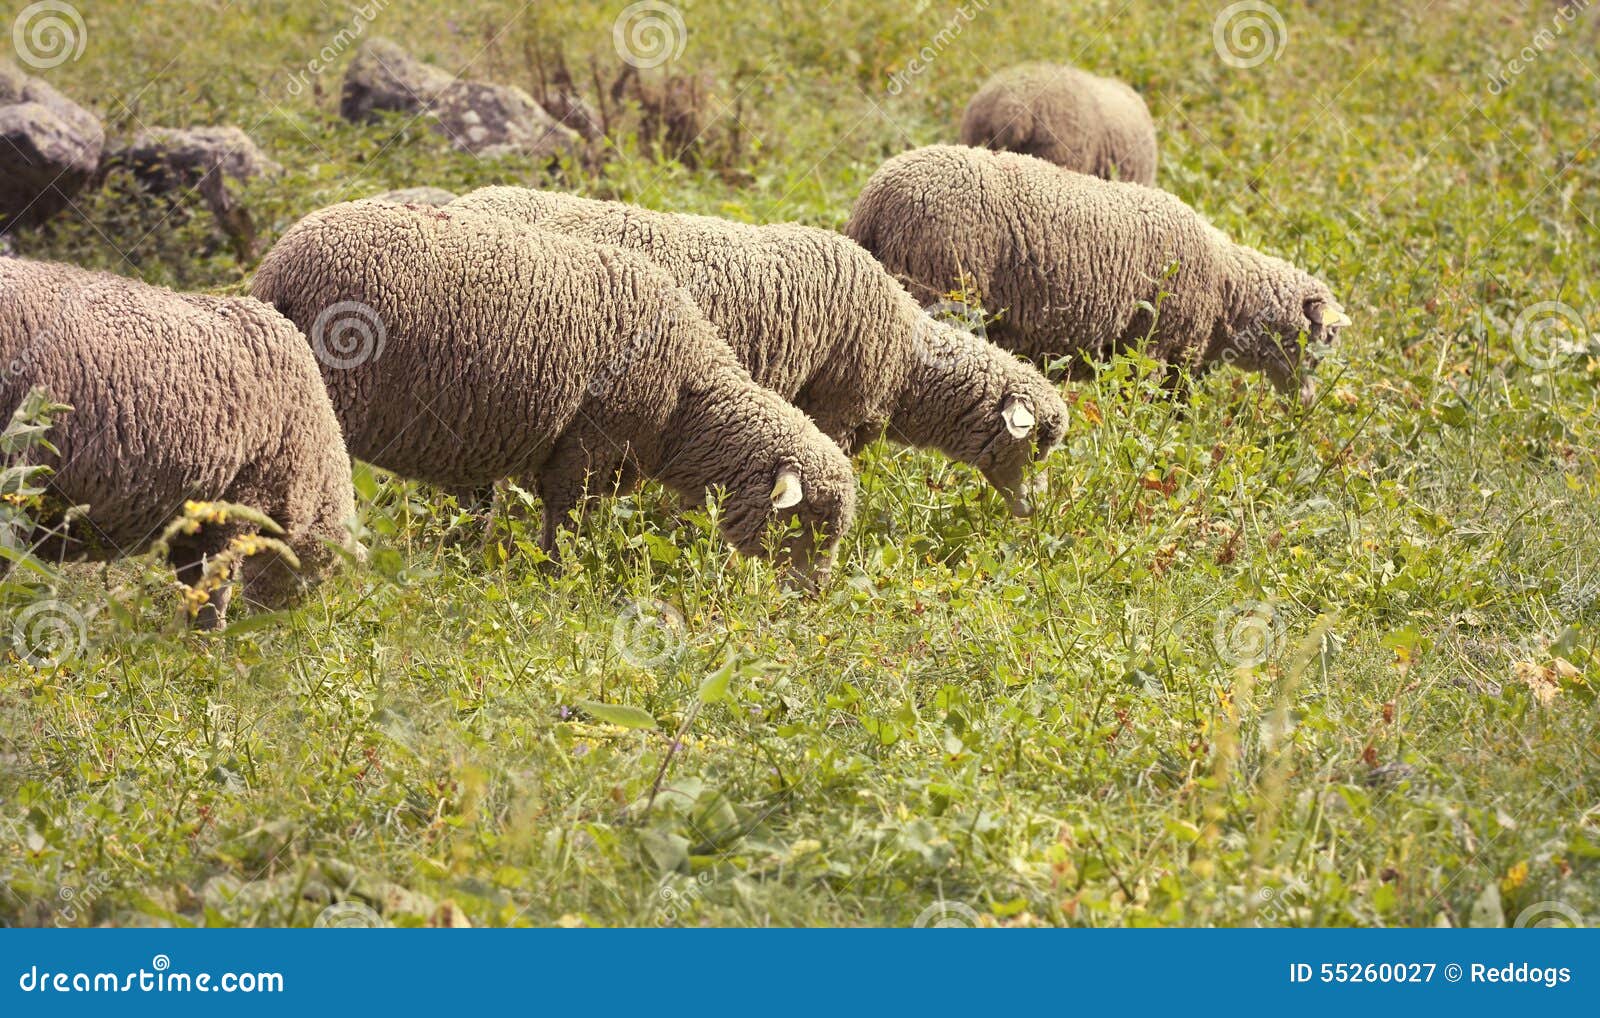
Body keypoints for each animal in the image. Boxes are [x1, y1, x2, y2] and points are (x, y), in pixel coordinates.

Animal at [0, 258, 357, 629]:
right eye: (317, 579)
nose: (288, 629)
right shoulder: (238, 503)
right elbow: (214, 585)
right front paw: (210, 635)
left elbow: (194, 585)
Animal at [249, 200, 857, 581]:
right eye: (809, 523)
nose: (814, 594)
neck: (686, 406)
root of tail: (277, 269)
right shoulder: (585, 449)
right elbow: (564, 524)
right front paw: (555, 579)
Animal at [843, 145, 1350, 403]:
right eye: (1323, 339)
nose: (1307, 403)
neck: (1228, 287)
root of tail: (877, 200)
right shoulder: (1160, 344)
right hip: (938, 285)